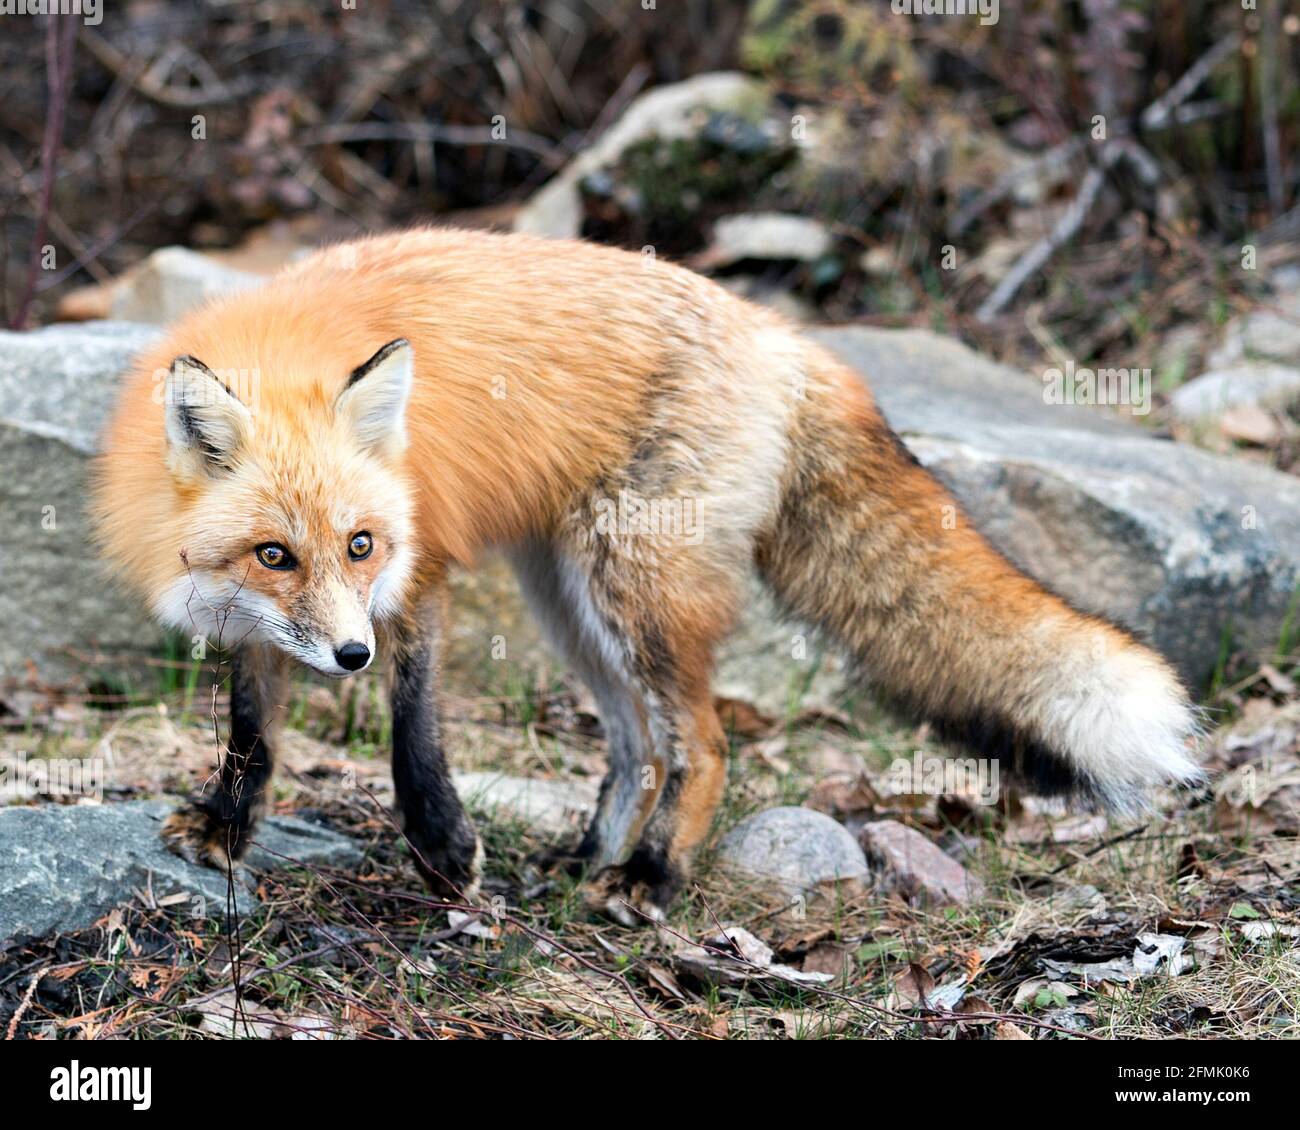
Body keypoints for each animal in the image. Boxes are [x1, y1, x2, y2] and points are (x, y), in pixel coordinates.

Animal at [93, 227, 1202, 923]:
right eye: (275, 554)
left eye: (362, 543)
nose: (349, 656)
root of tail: (786, 339)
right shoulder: (254, 620)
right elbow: (252, 733)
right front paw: (225, 827)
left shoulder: (416, 583)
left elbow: (414, 737)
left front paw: (444, 849)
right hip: (569, 597)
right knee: (635, 747)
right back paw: (592, 856)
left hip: (636, 589)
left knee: (701, 747)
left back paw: (652, 877)